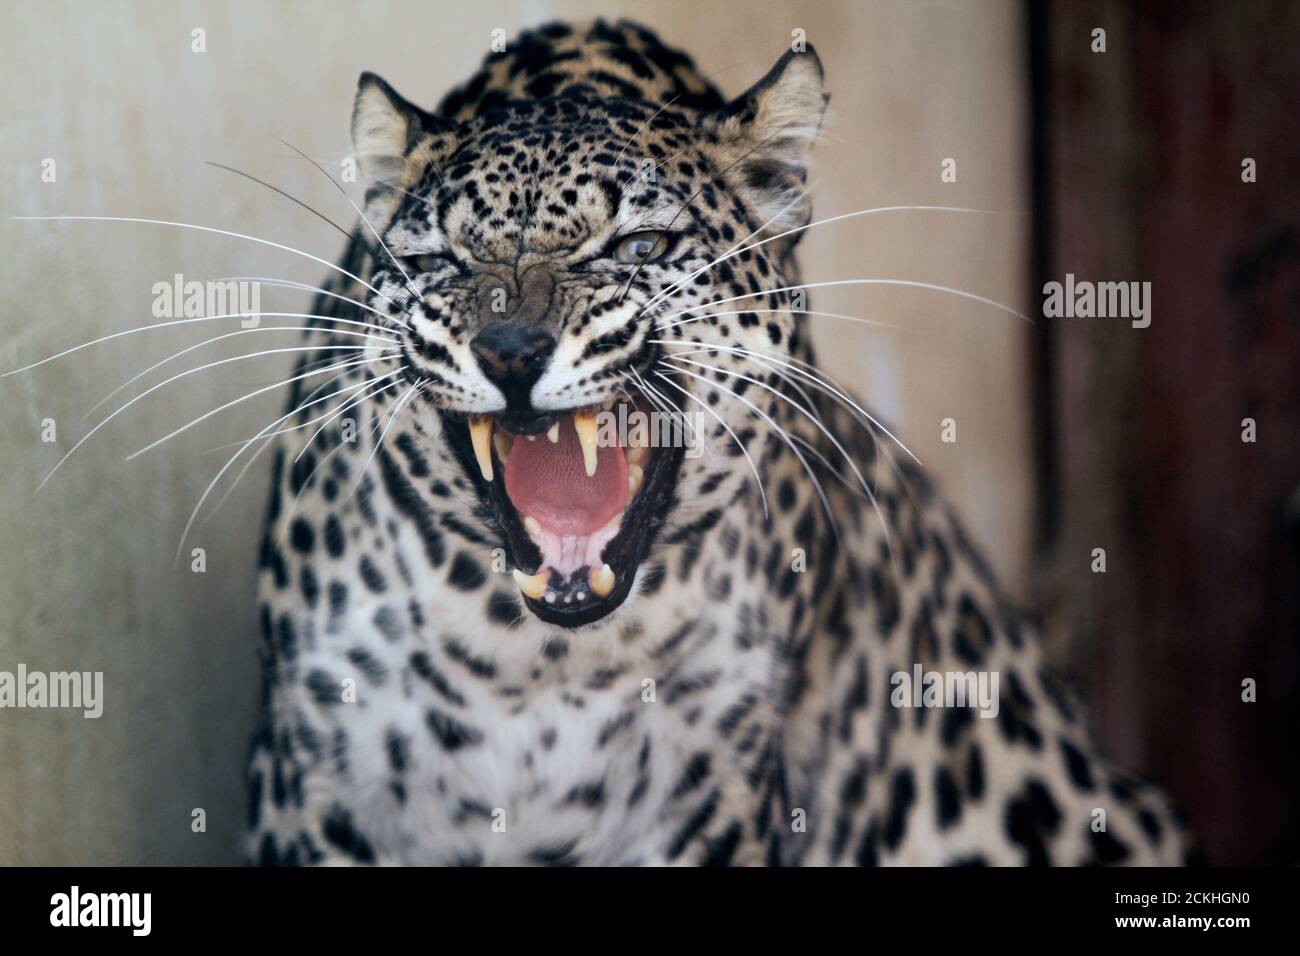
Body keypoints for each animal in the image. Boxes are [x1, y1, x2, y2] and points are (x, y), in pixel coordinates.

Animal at [244, 18, 1198, 866]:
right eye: (439, 260)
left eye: (638, 245)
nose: (510, 351)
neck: (536, 662)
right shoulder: (317, 796)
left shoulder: (713, 806)